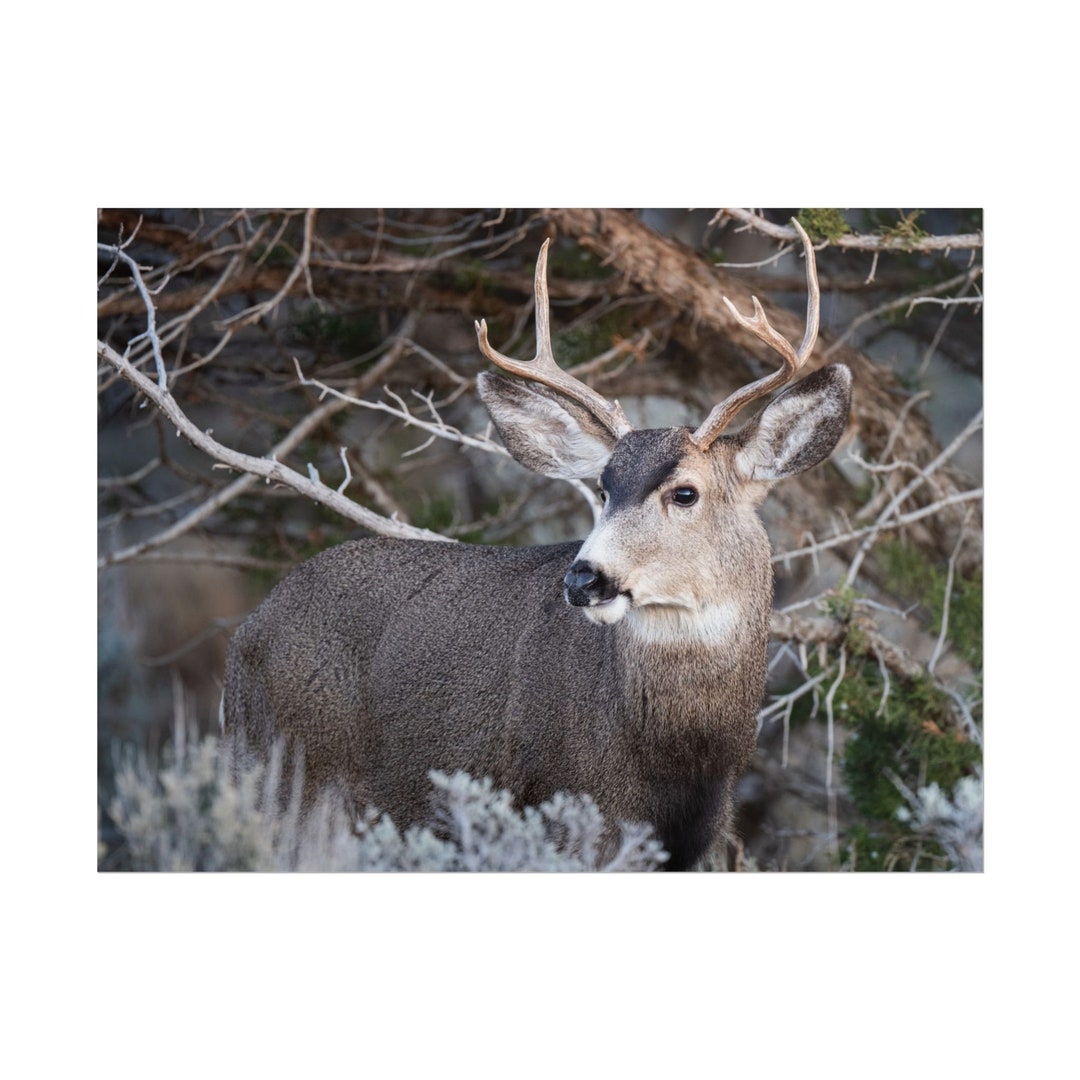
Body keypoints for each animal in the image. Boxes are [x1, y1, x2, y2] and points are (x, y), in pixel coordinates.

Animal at [222, 220, 851, 870]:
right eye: (603, 487)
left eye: (685, 493)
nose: (583, 578)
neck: (679, 765)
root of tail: (248, 631)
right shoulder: (562, 807)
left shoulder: (707, 838)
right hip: (285, 779)